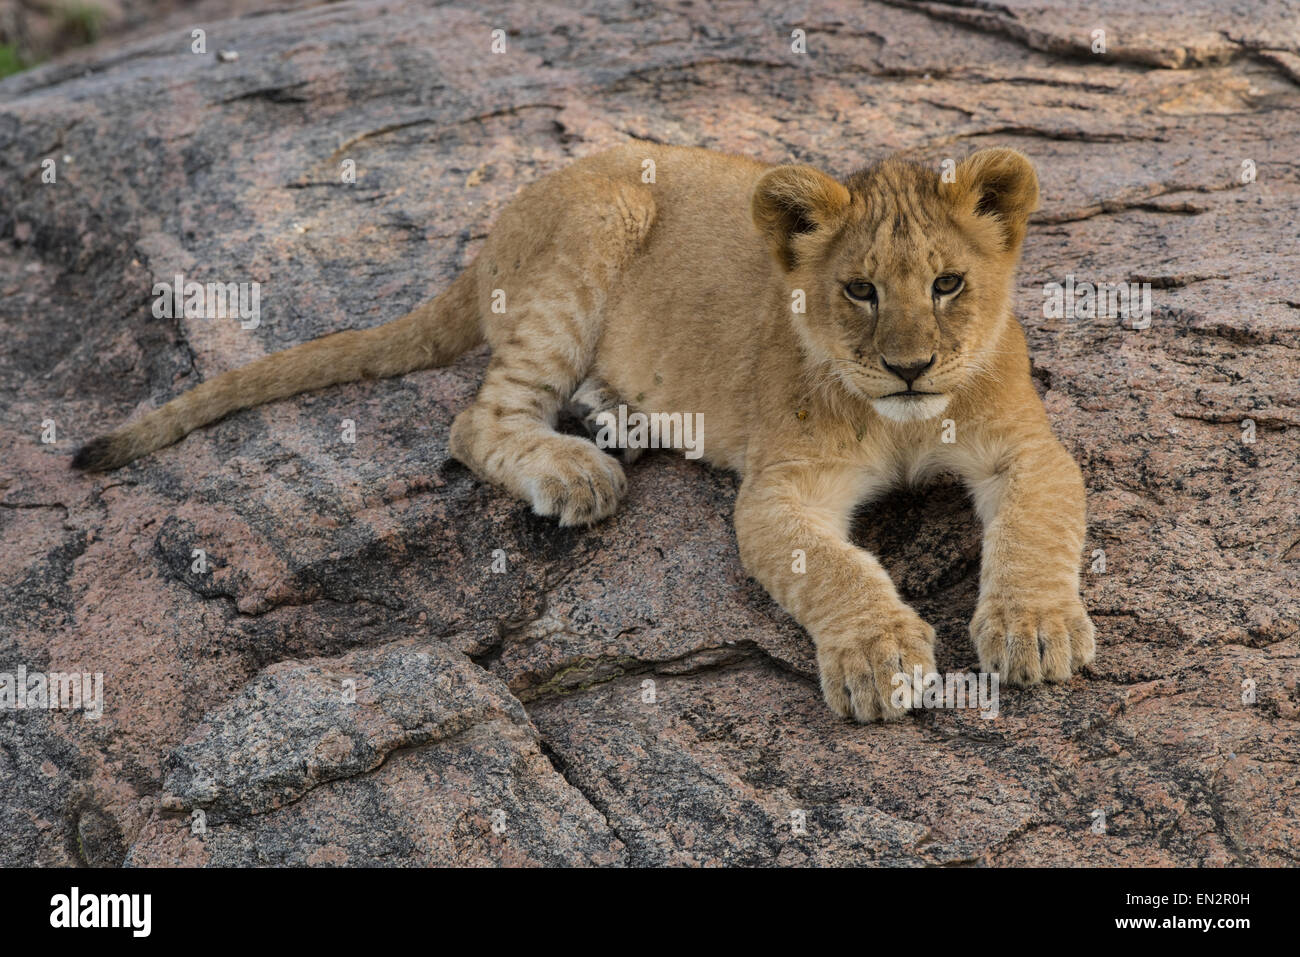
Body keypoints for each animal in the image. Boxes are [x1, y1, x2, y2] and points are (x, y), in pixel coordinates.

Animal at [72, 142, 1096, 722]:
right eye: (859, 290)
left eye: (949, 284)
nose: (912, 367)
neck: (902, 421)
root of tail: (495, 227)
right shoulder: (780, 486)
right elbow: (839, 570)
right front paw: (881, 658)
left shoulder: (1027, 445)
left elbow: (1038, 522)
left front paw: (1035, 628)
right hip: (598, 229)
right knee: (477, 417)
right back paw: (577, 469)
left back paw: (620, 412)